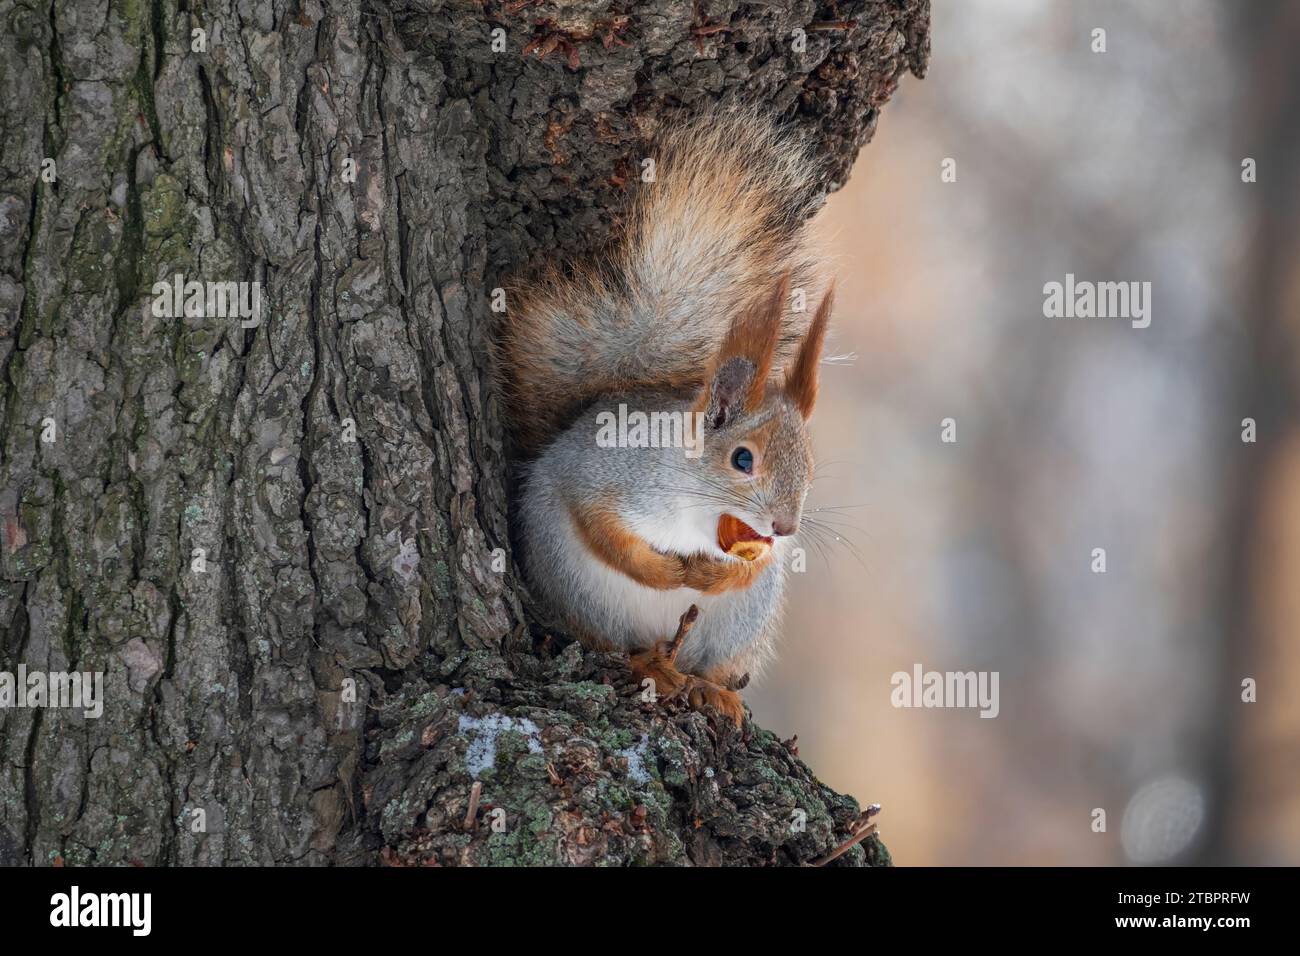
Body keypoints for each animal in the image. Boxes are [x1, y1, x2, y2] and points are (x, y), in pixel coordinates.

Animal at [497, 110, 835, 726]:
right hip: (586, 601)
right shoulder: (600, 475)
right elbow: (600, 528)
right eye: (742, 459)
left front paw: (715, 575)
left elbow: (753, 565)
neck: (694, 518)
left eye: (811, 469)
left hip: (736, 630)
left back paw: (712, 689)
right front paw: (667, 573)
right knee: (617, 645)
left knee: (711, 664)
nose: (784, 527)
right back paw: (649, 665)